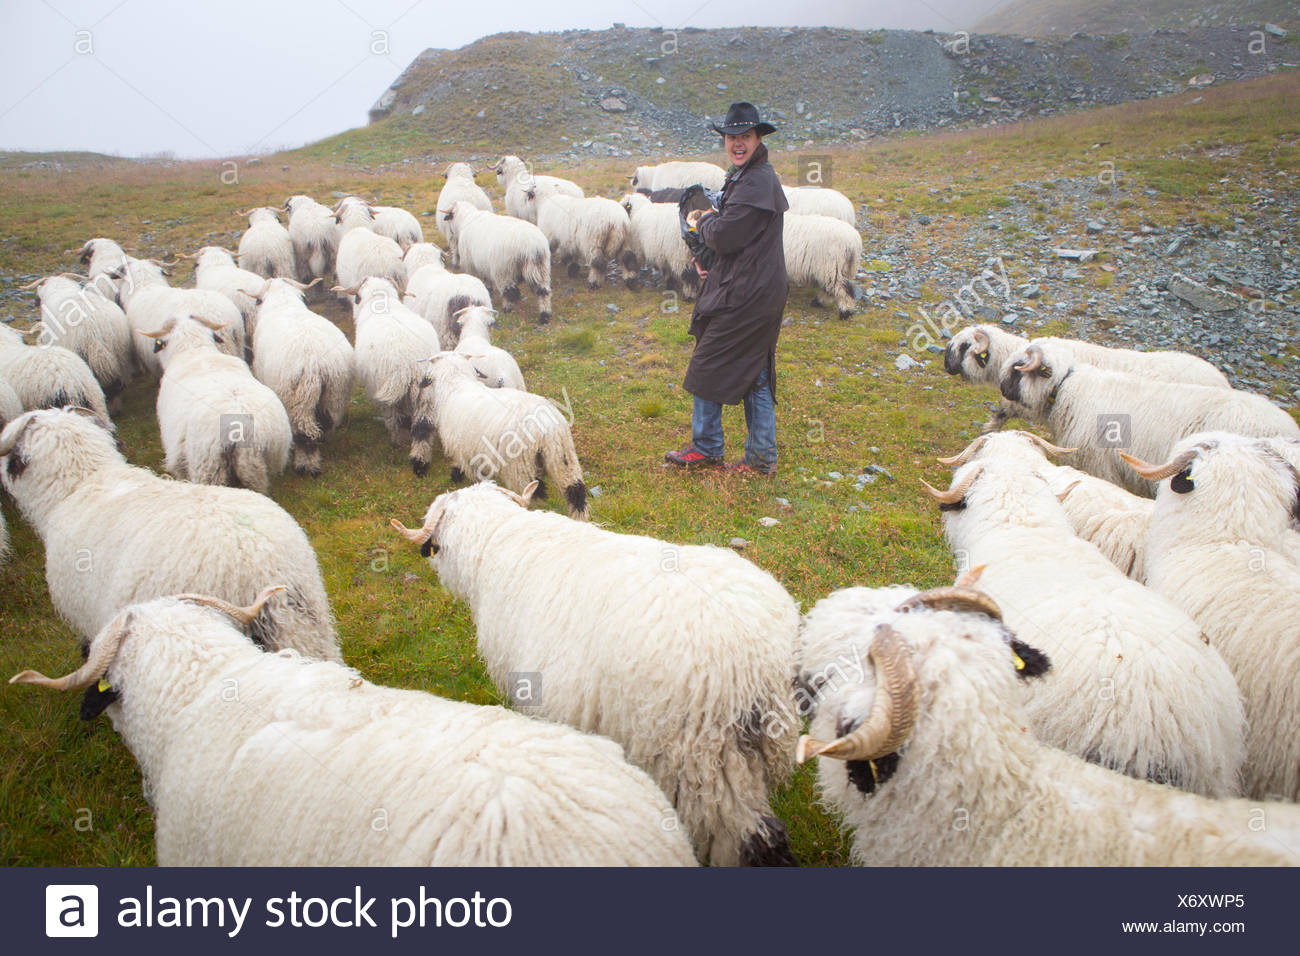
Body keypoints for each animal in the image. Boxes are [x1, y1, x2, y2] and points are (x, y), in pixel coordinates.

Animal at [251, 278, 355, 476]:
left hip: (298, 398)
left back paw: (306, 465)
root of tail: (313, 361)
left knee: (304, 432)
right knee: (327, 421)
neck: (284, 303)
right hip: (335, 392)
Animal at [345, 277, 441, 446]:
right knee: (424, 424)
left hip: (390, 391)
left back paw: (397, 441)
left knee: (396, 419)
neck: (381, 303)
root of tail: (411, 361)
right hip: (427, 393)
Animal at [406, 354, 582, 513]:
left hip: (520, 469)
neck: (457, 385)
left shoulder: (464, 451)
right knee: (576, 495)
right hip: (563, 459)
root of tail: (547, 426)